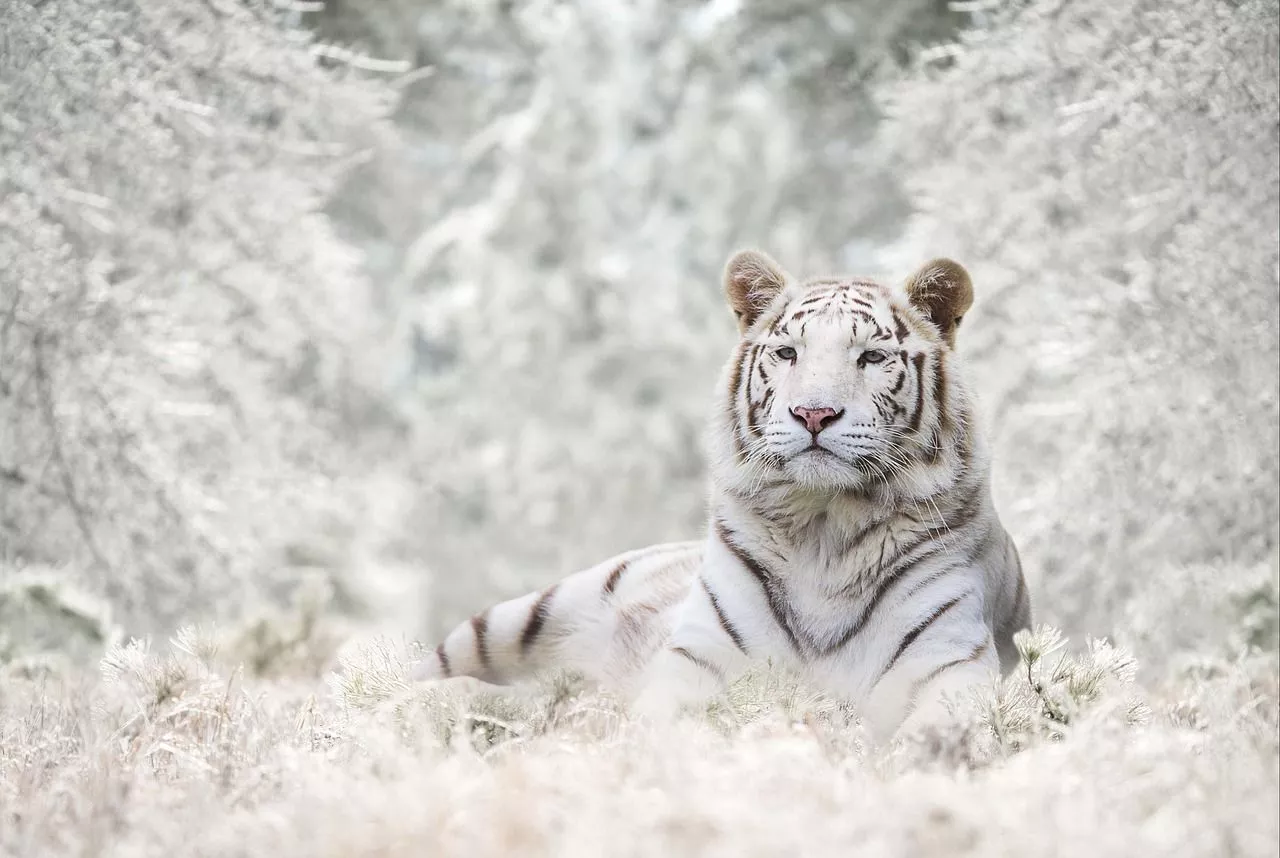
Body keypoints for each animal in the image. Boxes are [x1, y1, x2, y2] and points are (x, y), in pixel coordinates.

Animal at [410, 250, 1031, 740]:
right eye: (788, 353)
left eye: (872, 357)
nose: (814, 413)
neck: (826, 529)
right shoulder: (703, 658)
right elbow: (662, 725)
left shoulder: (949, 661)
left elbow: (936, 731)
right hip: (521, 615)